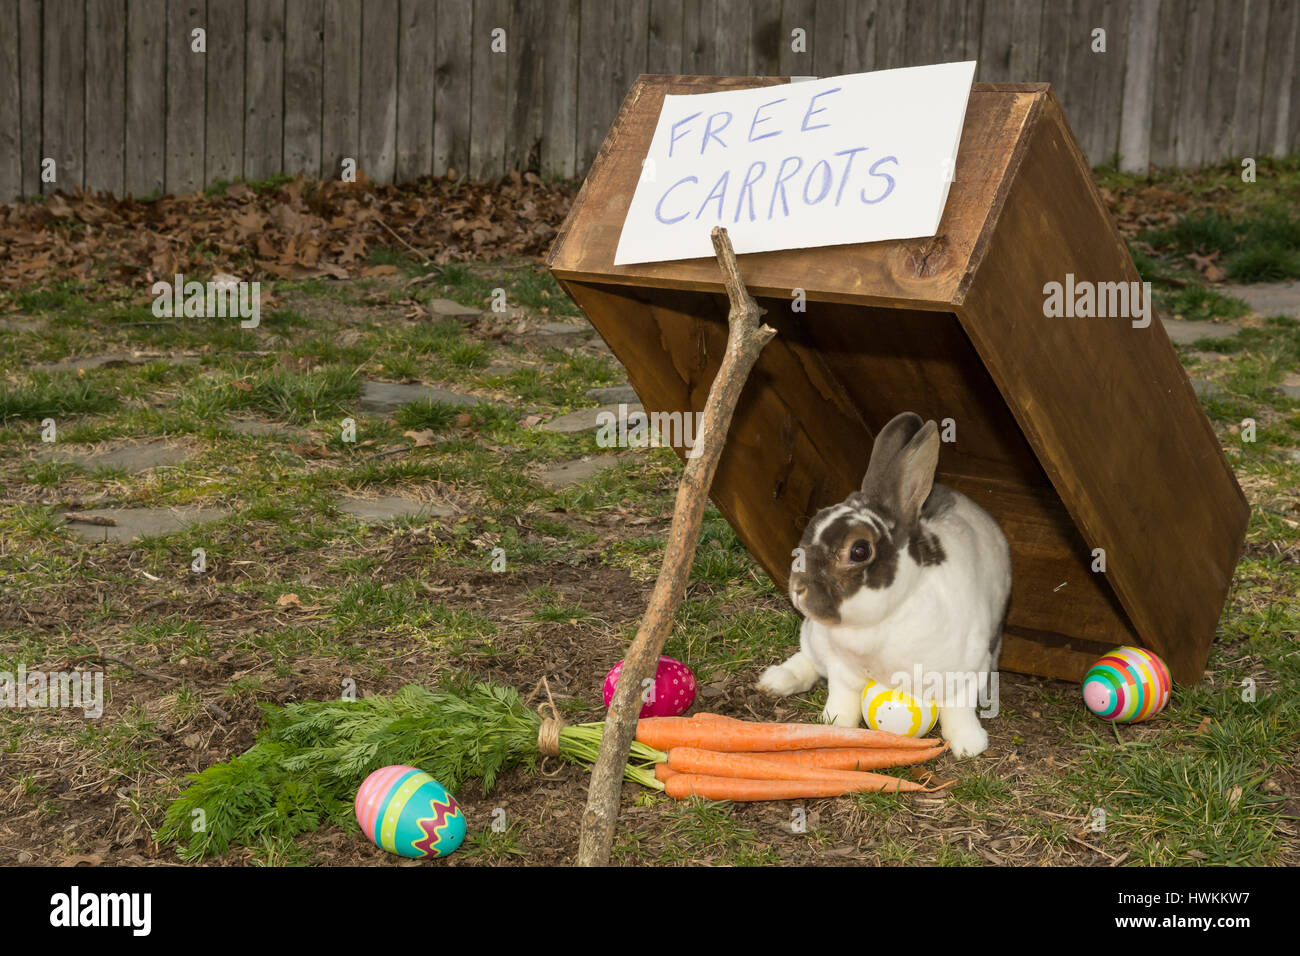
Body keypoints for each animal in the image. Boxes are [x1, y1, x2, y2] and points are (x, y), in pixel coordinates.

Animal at [757, 412, 1011, 758]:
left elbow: (958, 709)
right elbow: (842, 697)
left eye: (859, 550)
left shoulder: (968, 670)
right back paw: (776, 680)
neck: (881, 623)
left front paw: (968, 745)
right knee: (807, 658)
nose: (799, 589)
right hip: (812, 635)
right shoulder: (842, 669)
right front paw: (834, 725)